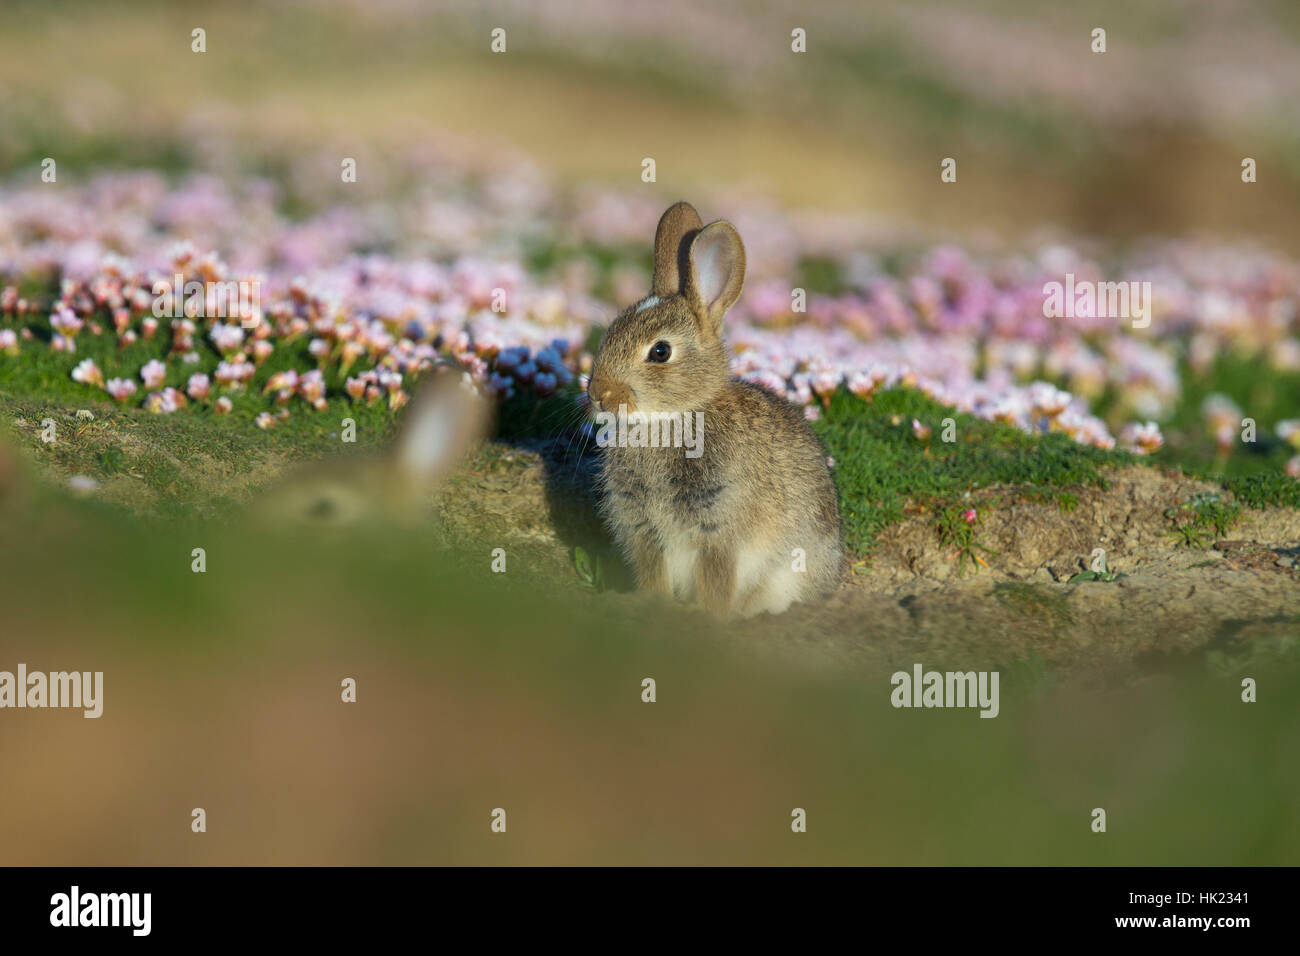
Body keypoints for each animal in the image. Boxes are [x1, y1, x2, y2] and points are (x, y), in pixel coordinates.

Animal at [587, 201, 842, 618]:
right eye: (609, 334)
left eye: (660, 351)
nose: (598, 394)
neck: (674, 416)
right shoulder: (643, 529)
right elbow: (653, 572)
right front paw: (649, 603)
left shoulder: (721, 529)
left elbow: (716, 577)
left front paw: (706, 616)